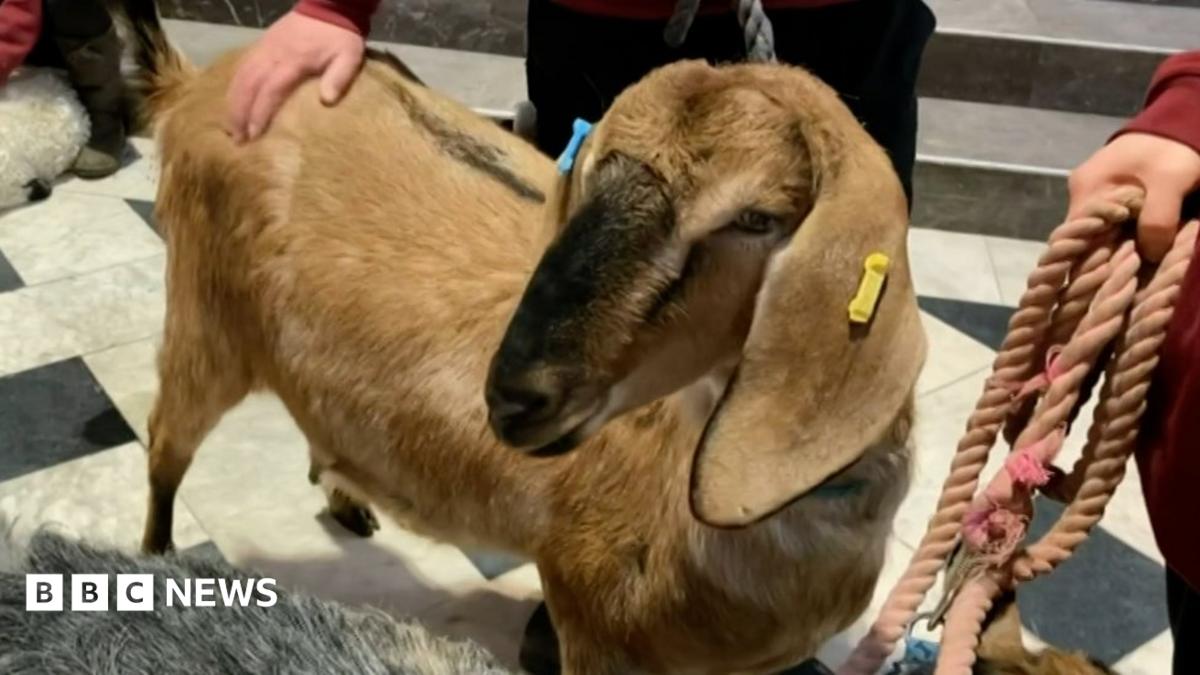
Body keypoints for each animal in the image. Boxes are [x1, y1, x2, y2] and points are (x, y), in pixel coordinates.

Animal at [122, 1, 927, 672]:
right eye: (591, 169)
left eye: (757, 217)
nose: (514, 396)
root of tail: (193, 86)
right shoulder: (591, 620)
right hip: (204, 318)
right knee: (164, 443)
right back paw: (158, 562)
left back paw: (348, 500)